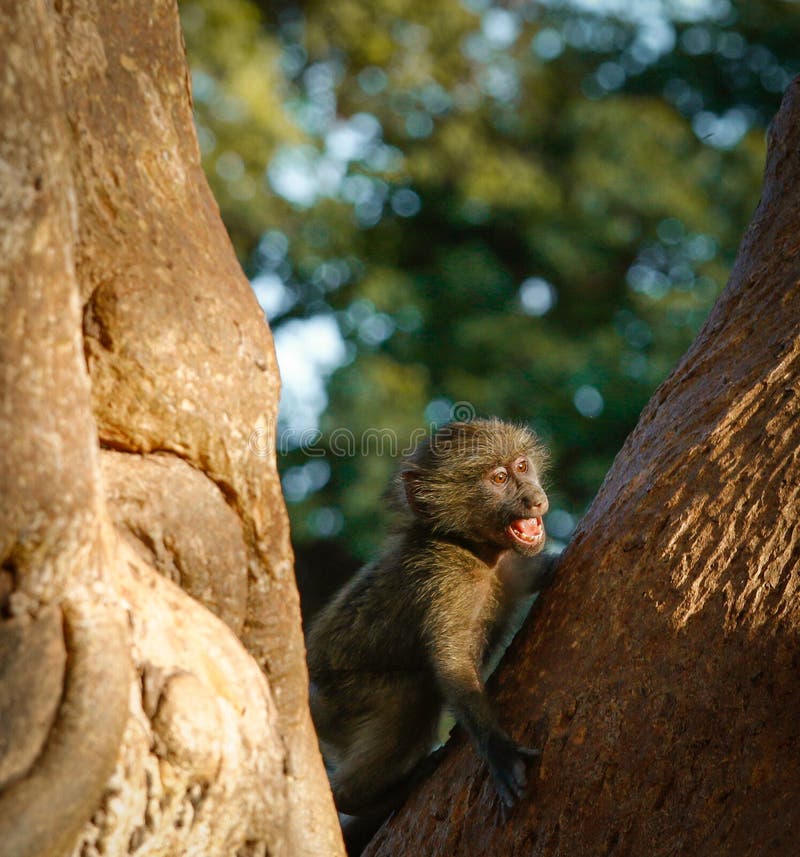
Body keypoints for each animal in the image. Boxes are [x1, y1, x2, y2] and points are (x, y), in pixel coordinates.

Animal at [306, 418, 557, 830]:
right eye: (499, 478)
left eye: (522, 467)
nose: (536, 499)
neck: (473, 548)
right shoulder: (444, 578)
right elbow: (450, 663)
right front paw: (499, 750)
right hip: (337, 703)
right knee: (413, 693)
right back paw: (362, 796)